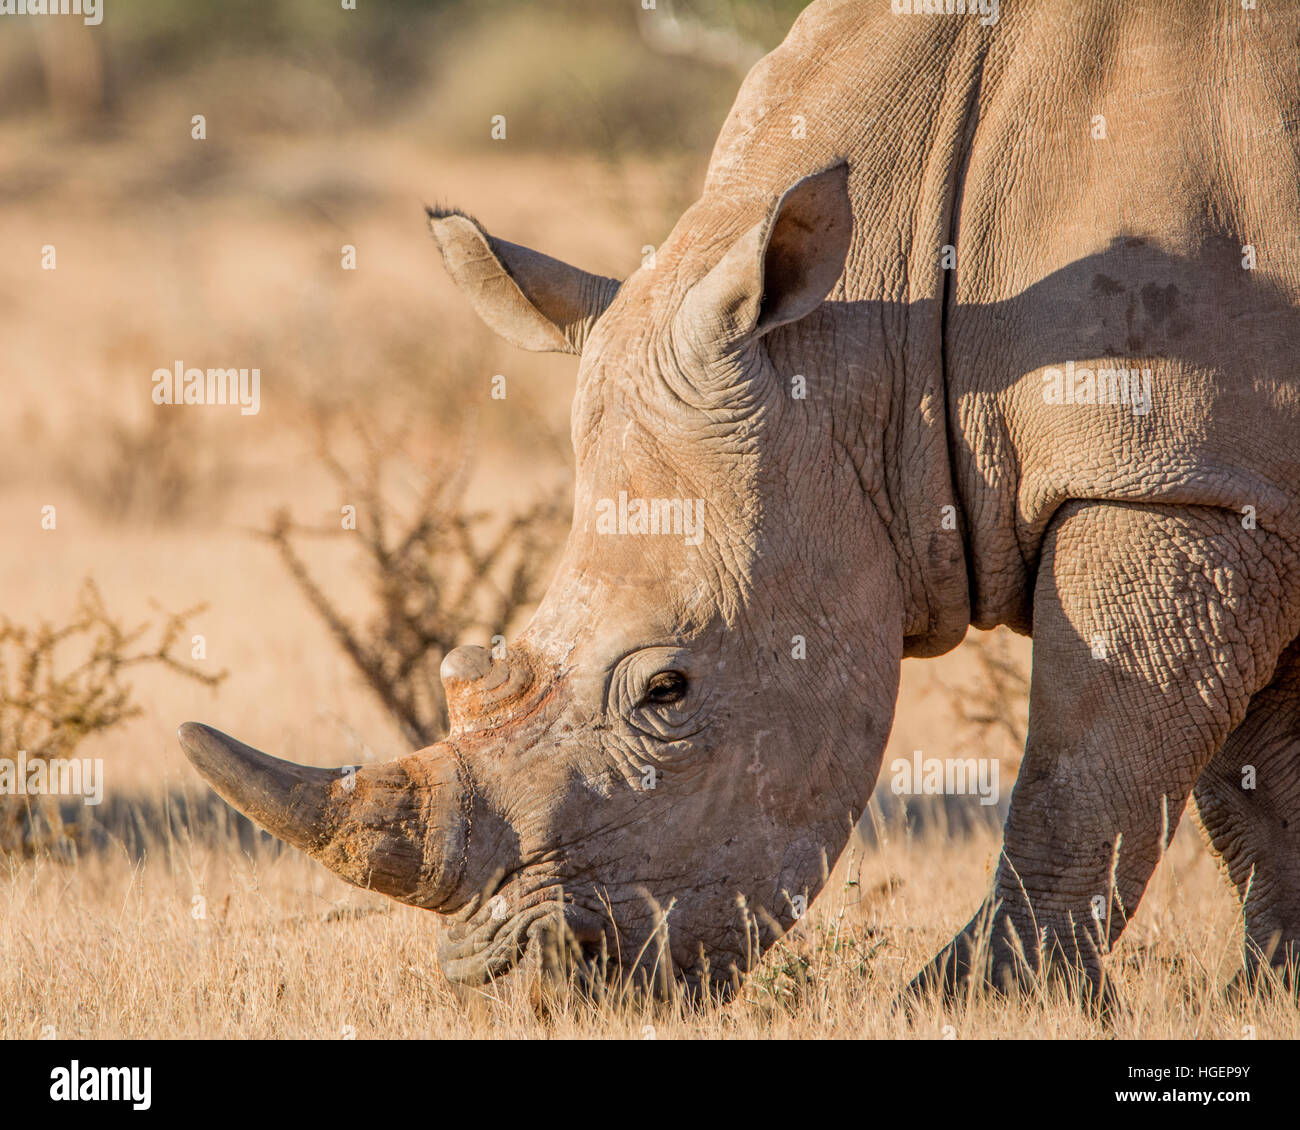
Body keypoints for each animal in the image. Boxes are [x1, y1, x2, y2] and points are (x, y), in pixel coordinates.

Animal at [179, 0, 1300, 1003]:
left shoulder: (1172, 482)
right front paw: (1271, 986)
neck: (882, 338)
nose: (510, 984)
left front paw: (972, 1001)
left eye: (666, 692)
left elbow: (1093, 759)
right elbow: (1248, 772)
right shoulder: (1229, 482)